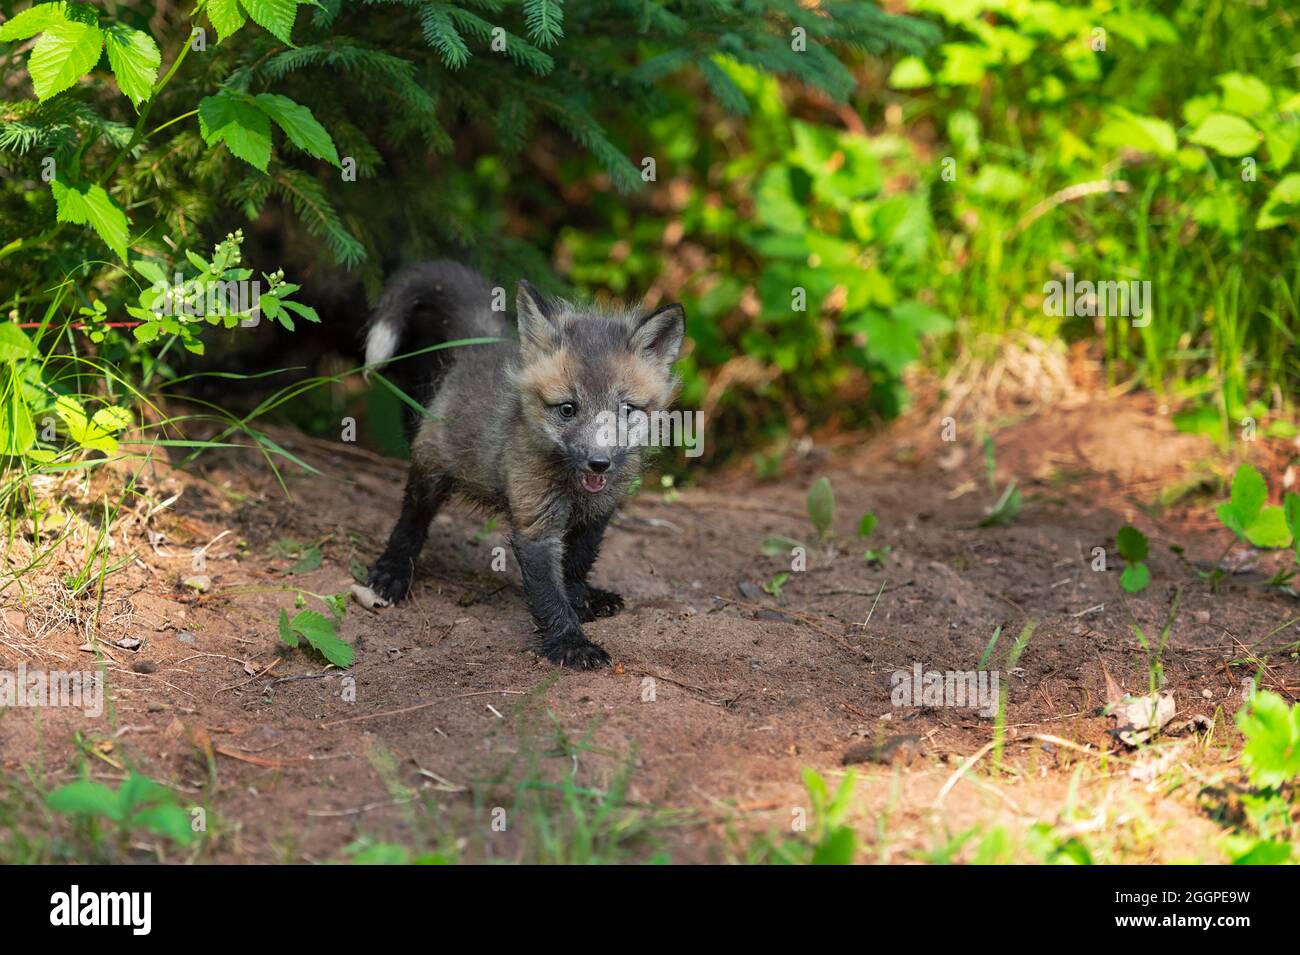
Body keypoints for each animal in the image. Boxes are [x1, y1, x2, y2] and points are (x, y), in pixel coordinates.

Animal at [362, 260, 685, 668]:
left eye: (626, 409)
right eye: (567, 409)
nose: (599, 463)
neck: (571, 488)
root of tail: (485, 345)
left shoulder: (599, 513)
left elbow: (576, 565)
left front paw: (581, 600)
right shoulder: (536, 523)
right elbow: (549, 594)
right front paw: (570, 643)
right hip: (431, 471)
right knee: (411, 521)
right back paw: (392, 572)